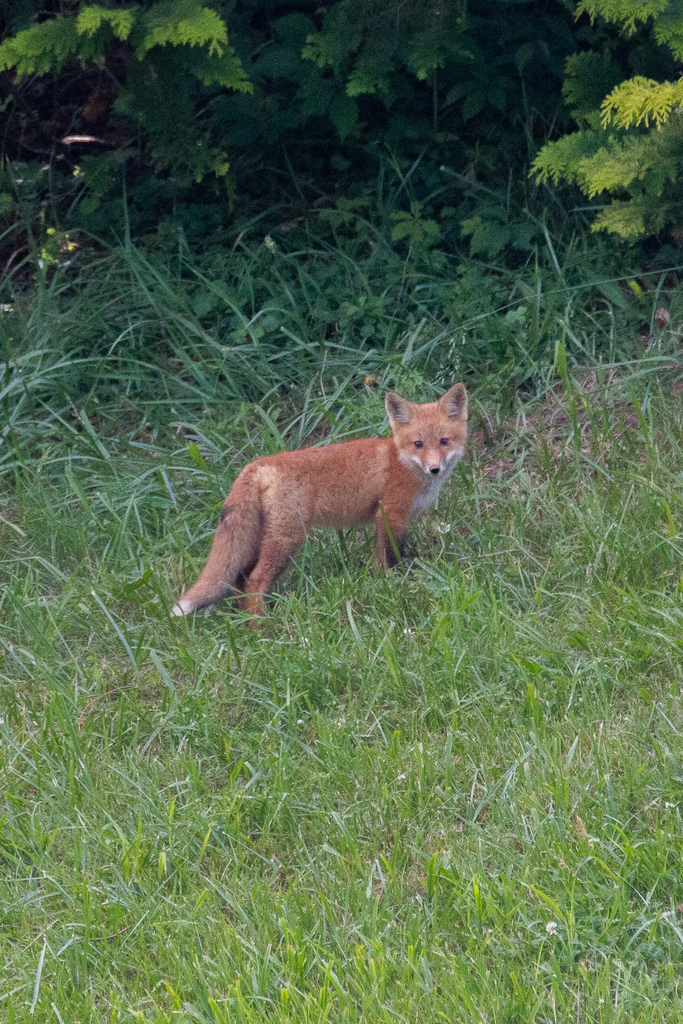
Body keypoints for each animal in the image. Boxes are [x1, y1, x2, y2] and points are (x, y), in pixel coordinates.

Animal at [171, 382, 467, 625]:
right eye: (418, 444)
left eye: (444, 441)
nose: (435, 469)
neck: (402, 462)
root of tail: (257, 464)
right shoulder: (390, 515)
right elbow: (389, 559)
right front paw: (393, 587)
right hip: (288, 539)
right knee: (255, 580)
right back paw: (260, 629)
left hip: (258, 540)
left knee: (241, 580)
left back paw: (243, 622)